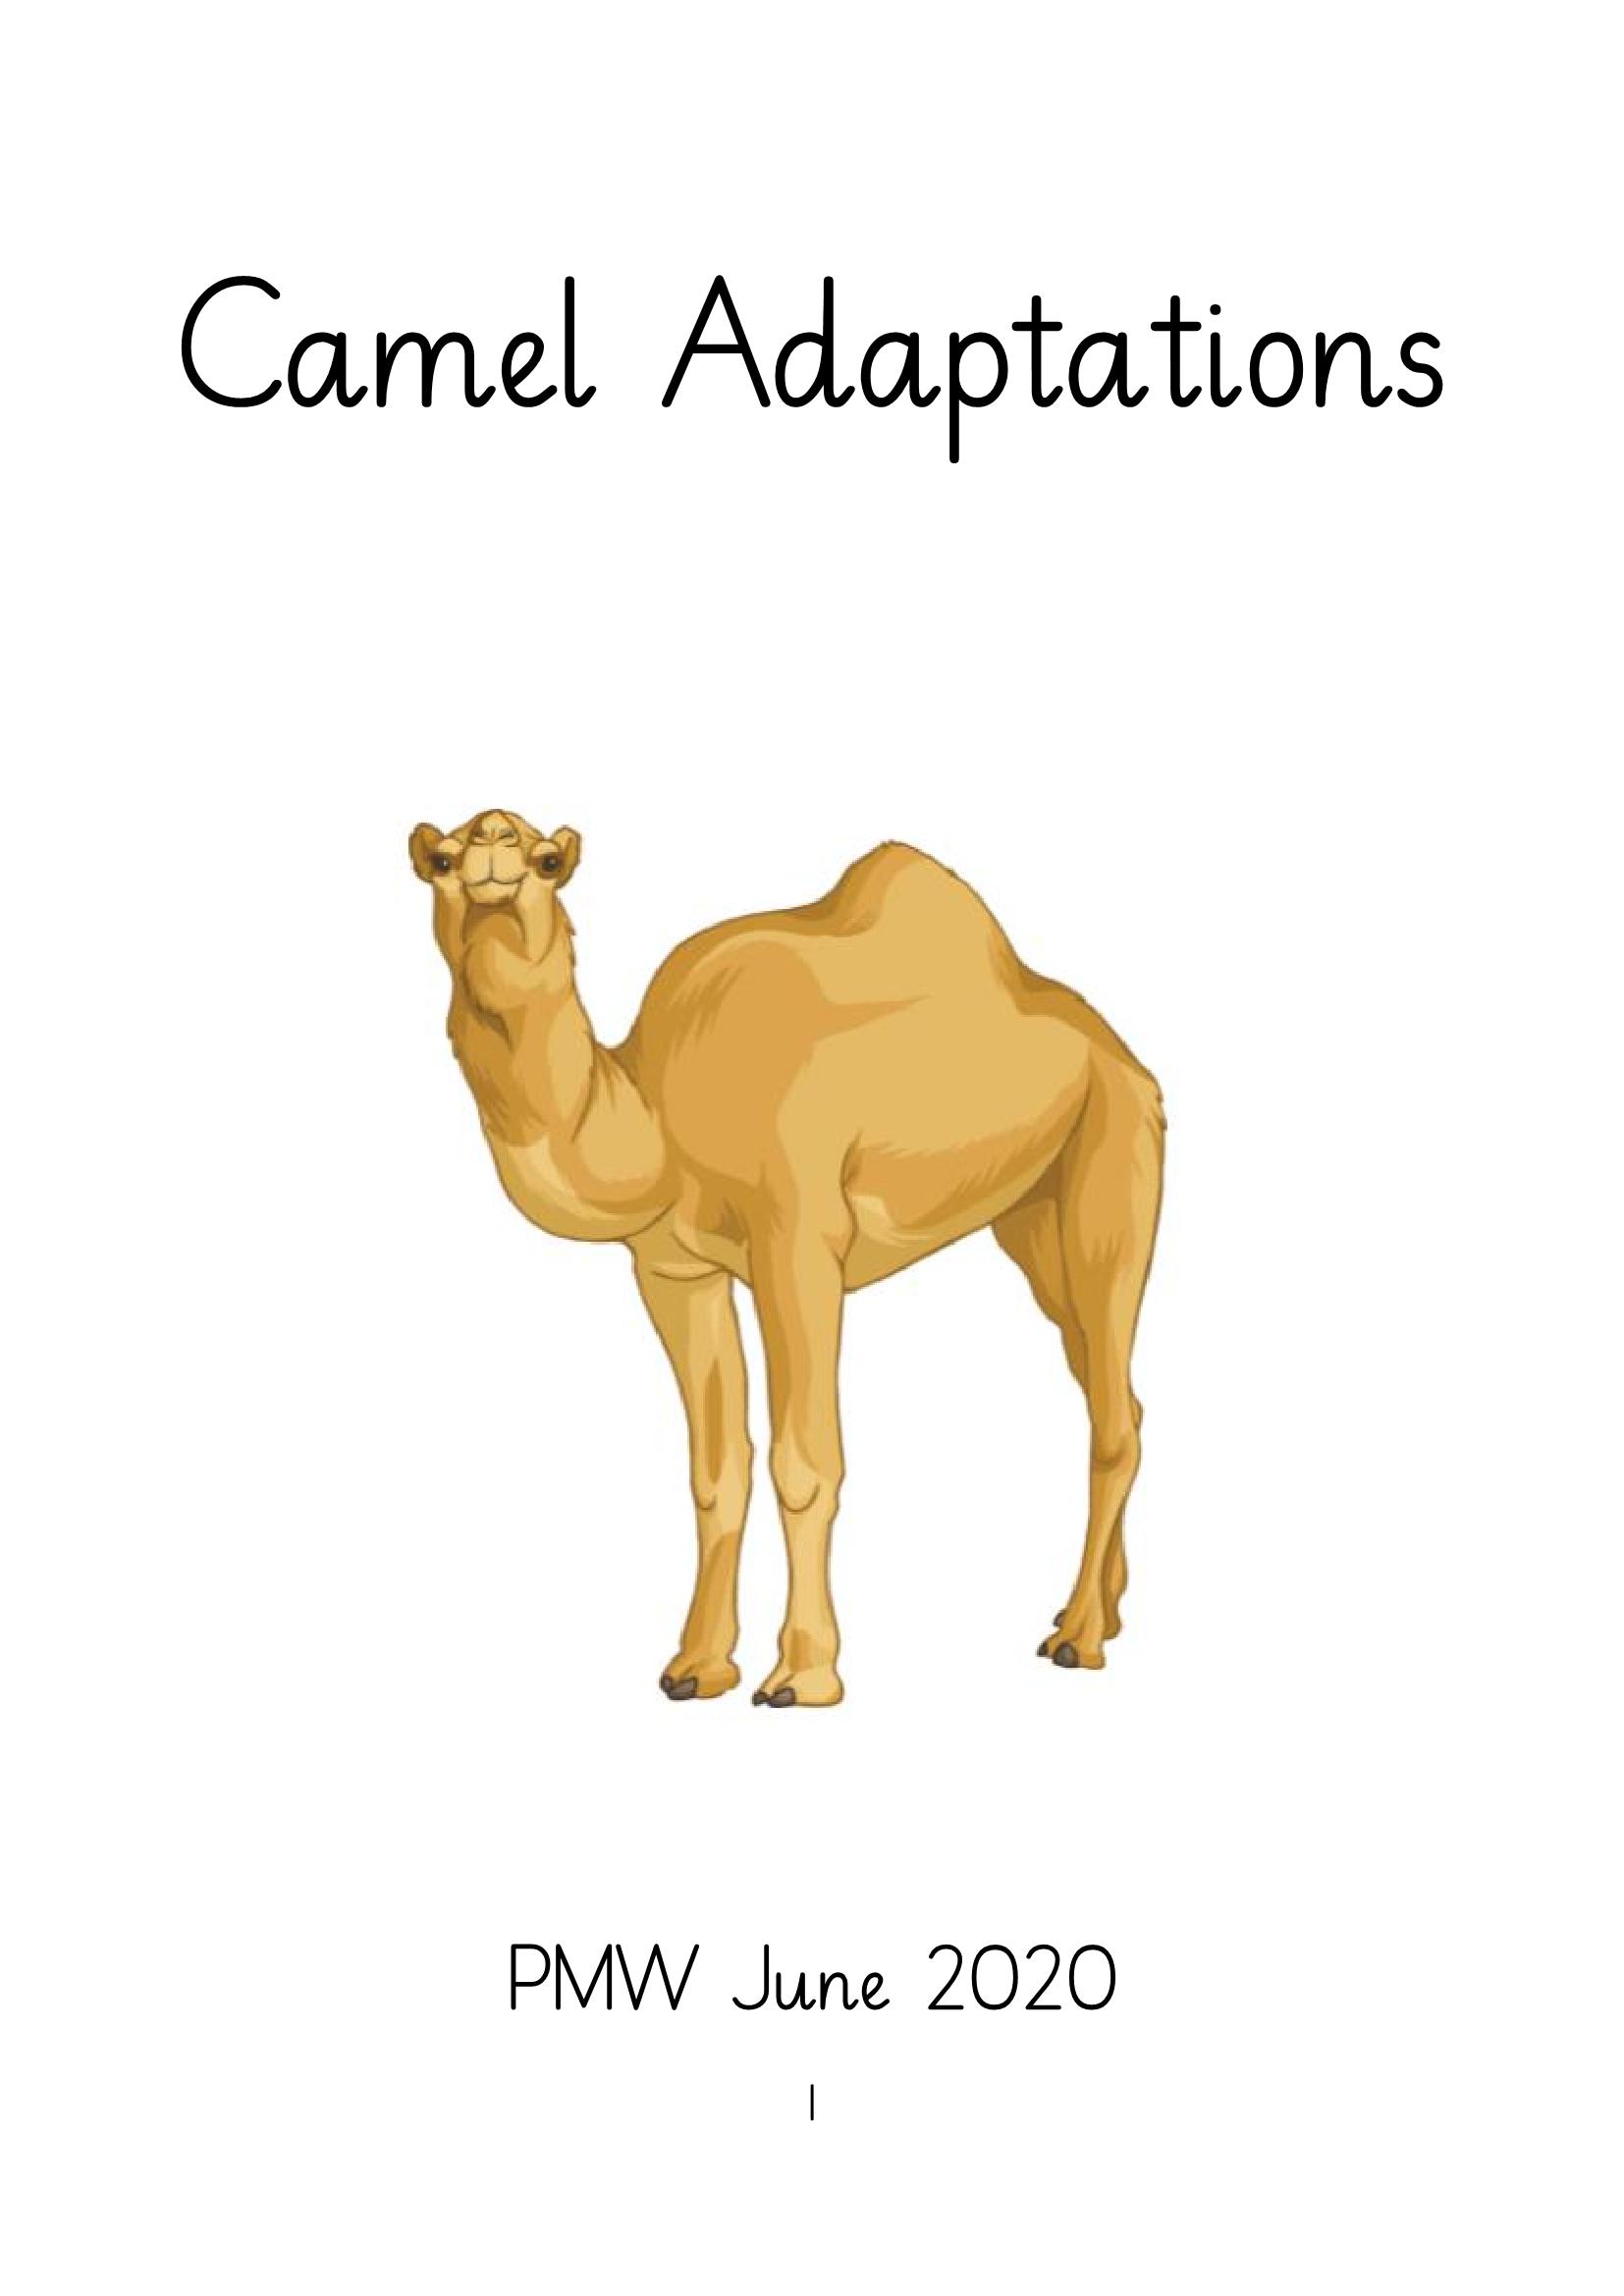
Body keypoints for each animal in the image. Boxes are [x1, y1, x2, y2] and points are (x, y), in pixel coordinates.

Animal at [411, 811, 1164, 1707]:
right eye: (441, 859)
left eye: (549, 860)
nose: (494, 849)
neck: (660, 1109)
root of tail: (1121, 1051)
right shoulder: (674, 1269)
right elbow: (716, 1468)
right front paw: (696, 1667)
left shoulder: (797, 1238)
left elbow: (804, 1461)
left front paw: (802, 1675)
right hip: (1030, 1218)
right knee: (1107, 1388)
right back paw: (1101, 1614)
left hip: (1114, 1157)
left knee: (1113, 1408)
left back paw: (1078, 1636)